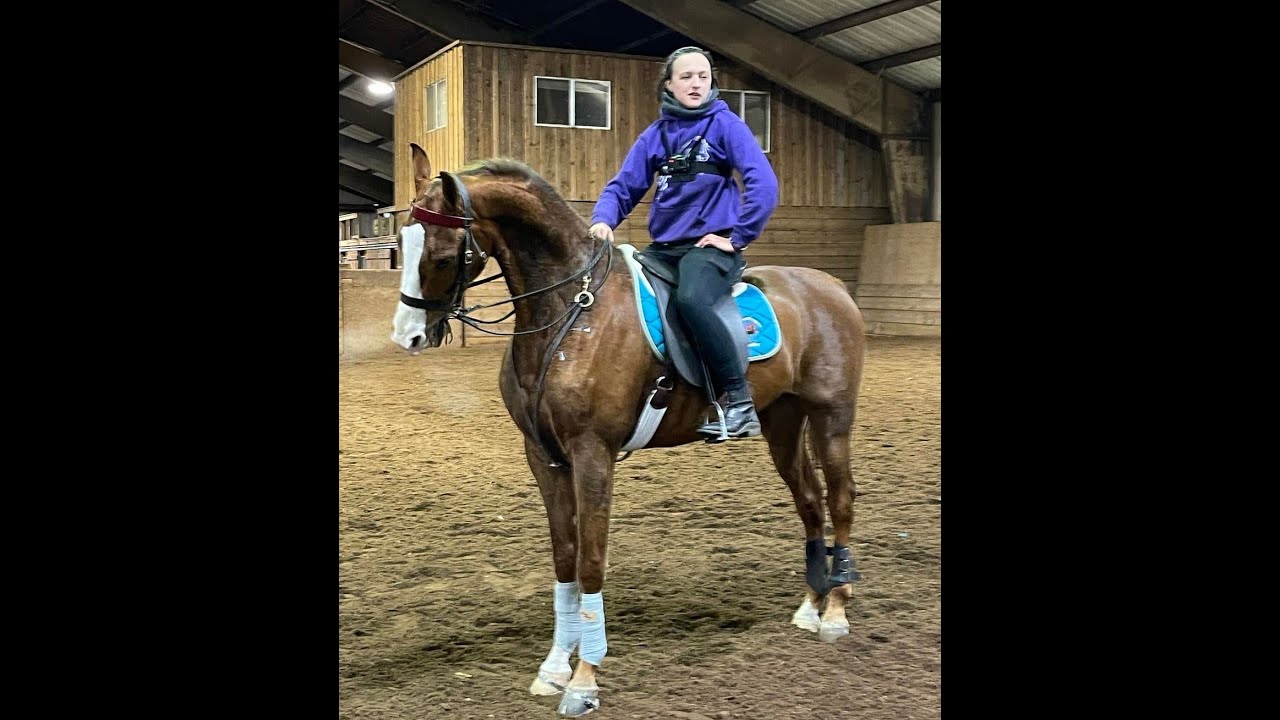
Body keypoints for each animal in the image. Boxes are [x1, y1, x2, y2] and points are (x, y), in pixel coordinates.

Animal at [390, 143, 866, 717]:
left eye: (441, 256)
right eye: (401, 244)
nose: (407, 336)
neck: (570, 310)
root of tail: (829, 286)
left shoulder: (592, 453)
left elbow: (592, 561)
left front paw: (585, 679)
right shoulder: (544, 457)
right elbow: (565, 559)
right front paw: (555, 666)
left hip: (832, 417)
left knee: (840, 498)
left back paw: (836, 610)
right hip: (783, 422)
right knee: (811, 501)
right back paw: (811, 605)